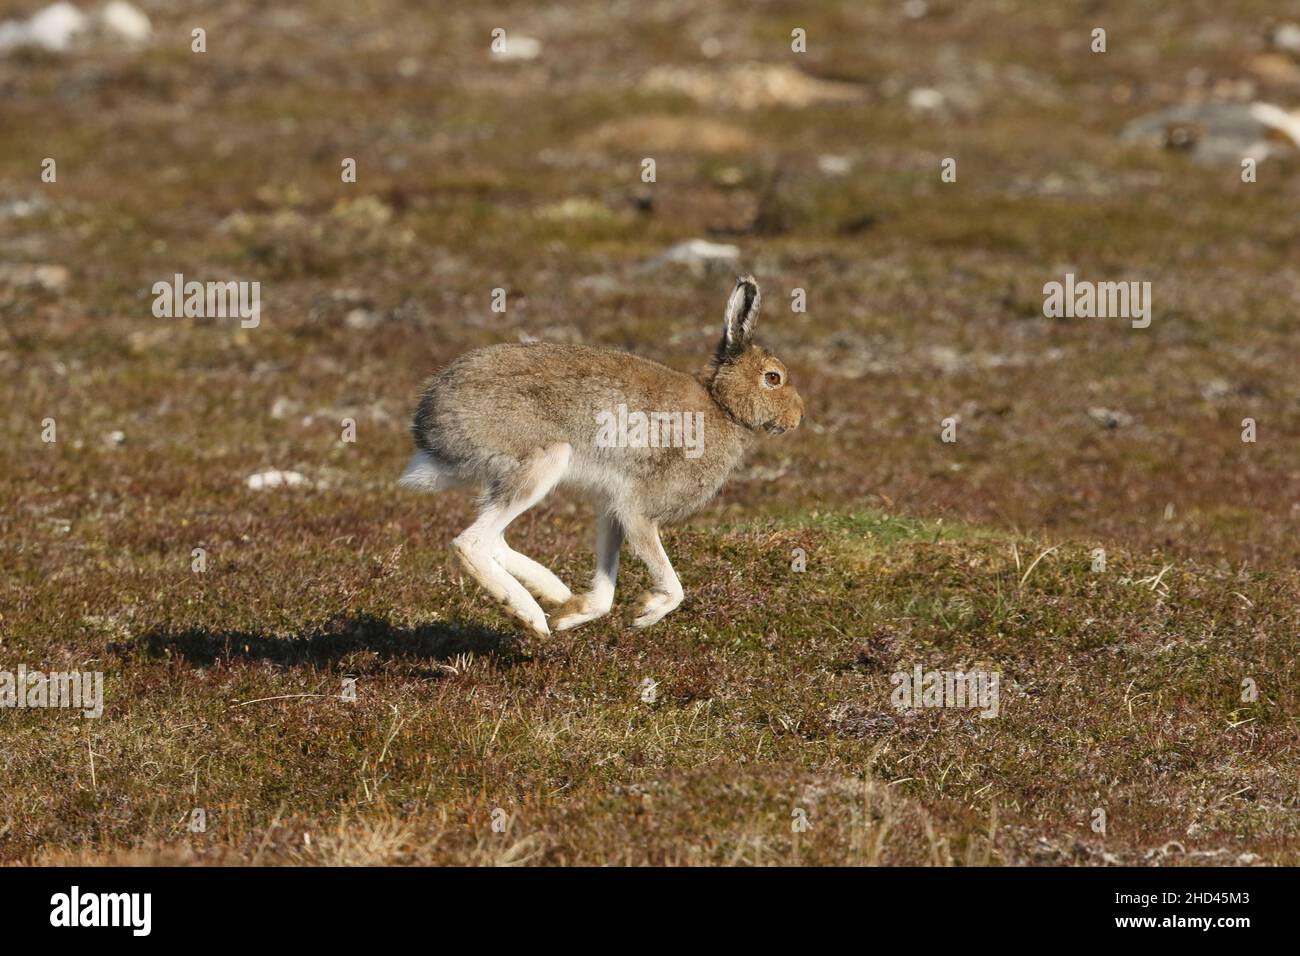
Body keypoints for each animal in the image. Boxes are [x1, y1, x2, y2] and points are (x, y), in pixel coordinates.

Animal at [399, 275, 803, 636]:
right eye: (773, 378)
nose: (798, 417)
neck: (721, 404)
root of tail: (428, 422)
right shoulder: (639, 510)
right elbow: (673, 585)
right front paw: (646, 613)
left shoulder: (614, 507)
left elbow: (606, 591)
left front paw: (573, 615)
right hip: (542, 460)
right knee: (470, 543)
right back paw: (529, 616)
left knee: (494, 537)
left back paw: (555, 594)